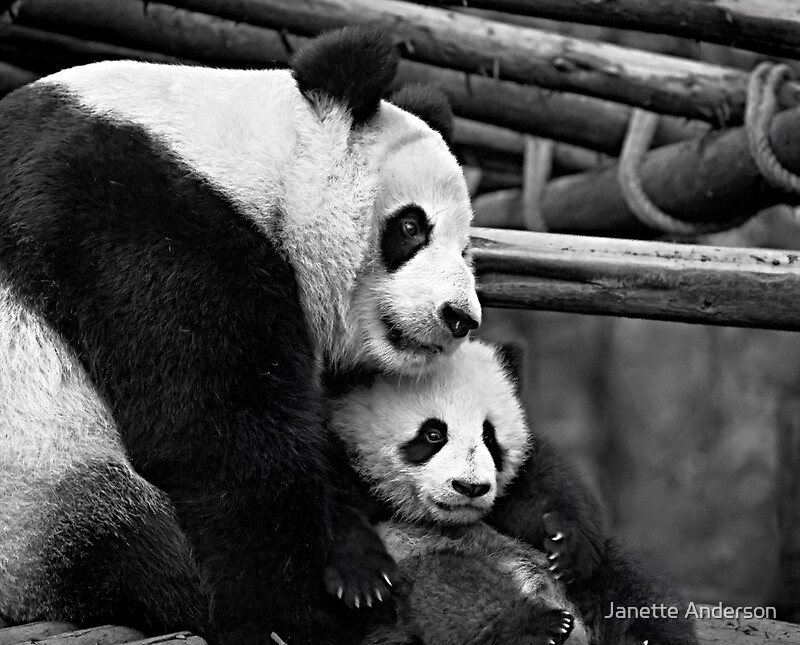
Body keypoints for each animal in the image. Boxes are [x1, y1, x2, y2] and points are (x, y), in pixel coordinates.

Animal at [0, 27, 480, 645]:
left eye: (466, 250)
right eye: (412, 227)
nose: (460, 317)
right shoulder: (139, 221)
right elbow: (220, 431)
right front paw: (302, 607)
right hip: (37, 487)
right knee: (131, 547)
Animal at [327, 338, 698, 645]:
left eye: (489, 436)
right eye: (433, 434)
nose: (471, 487)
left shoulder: (521, 472)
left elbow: (550, 484)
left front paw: (565, 542)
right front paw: (362, 576)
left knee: (631, 588)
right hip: (418, 563)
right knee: (451, 591)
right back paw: (536, 626)